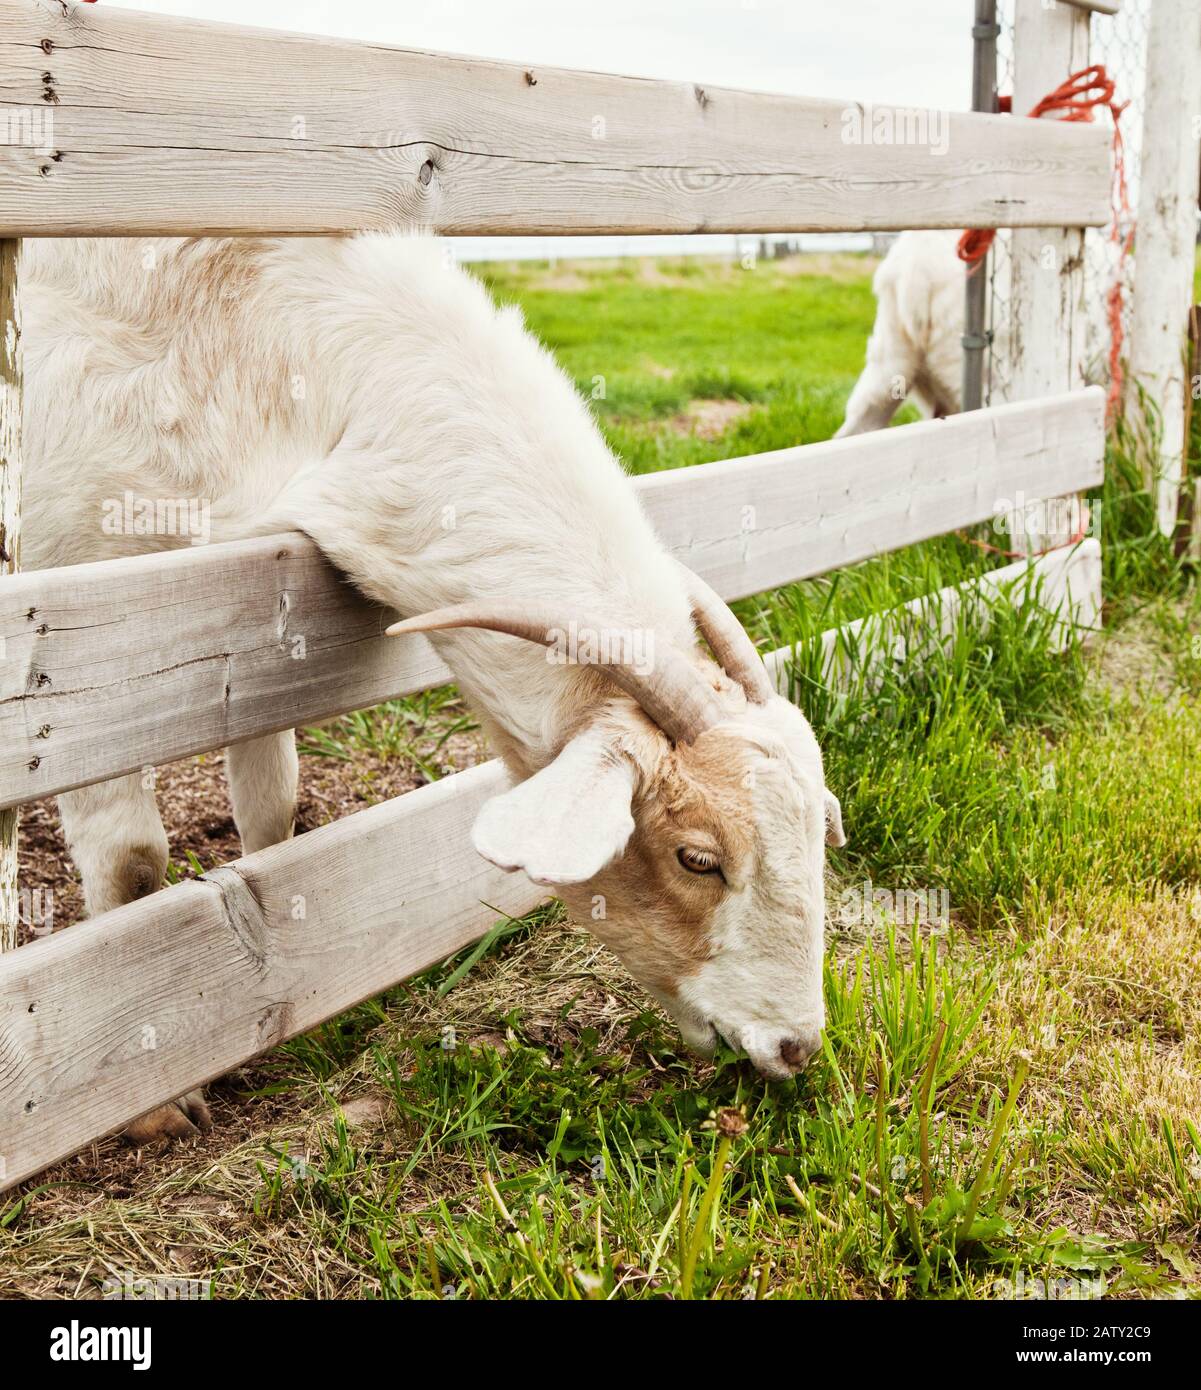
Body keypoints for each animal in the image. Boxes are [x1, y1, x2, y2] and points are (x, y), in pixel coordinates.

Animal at [21, 234, 844, 1139]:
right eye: (696, 857)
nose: (794, 1047)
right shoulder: (76, 595)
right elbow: (131, 858)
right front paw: (158, 1109)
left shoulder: (249, 626)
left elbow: (271, 810)